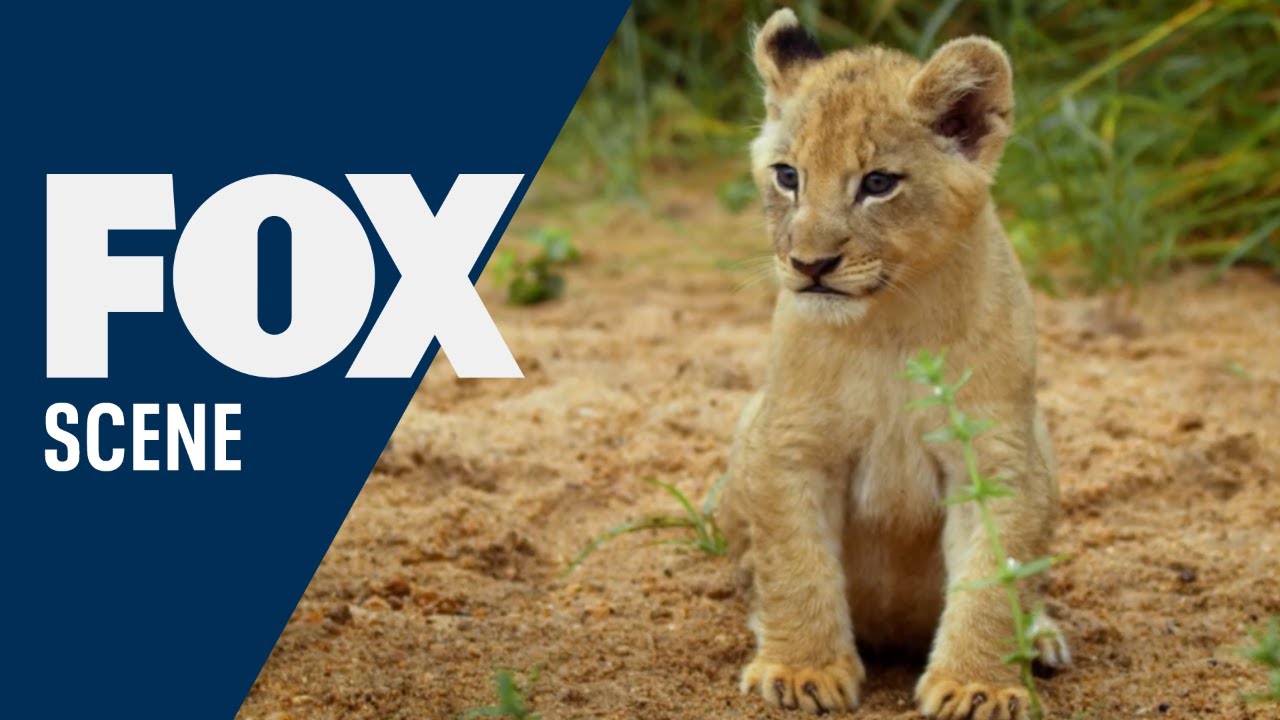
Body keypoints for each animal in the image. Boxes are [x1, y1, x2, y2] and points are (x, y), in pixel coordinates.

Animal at [716, 9, 1071, 719]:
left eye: (878, 183)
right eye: (788, 175)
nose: (809, 264)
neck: (890, 327)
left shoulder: (998, 457)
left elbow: (994, 580)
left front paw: (976, 685)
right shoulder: (792, 446)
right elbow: (795, 565)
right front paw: (801, 670)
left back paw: (1041, 640)